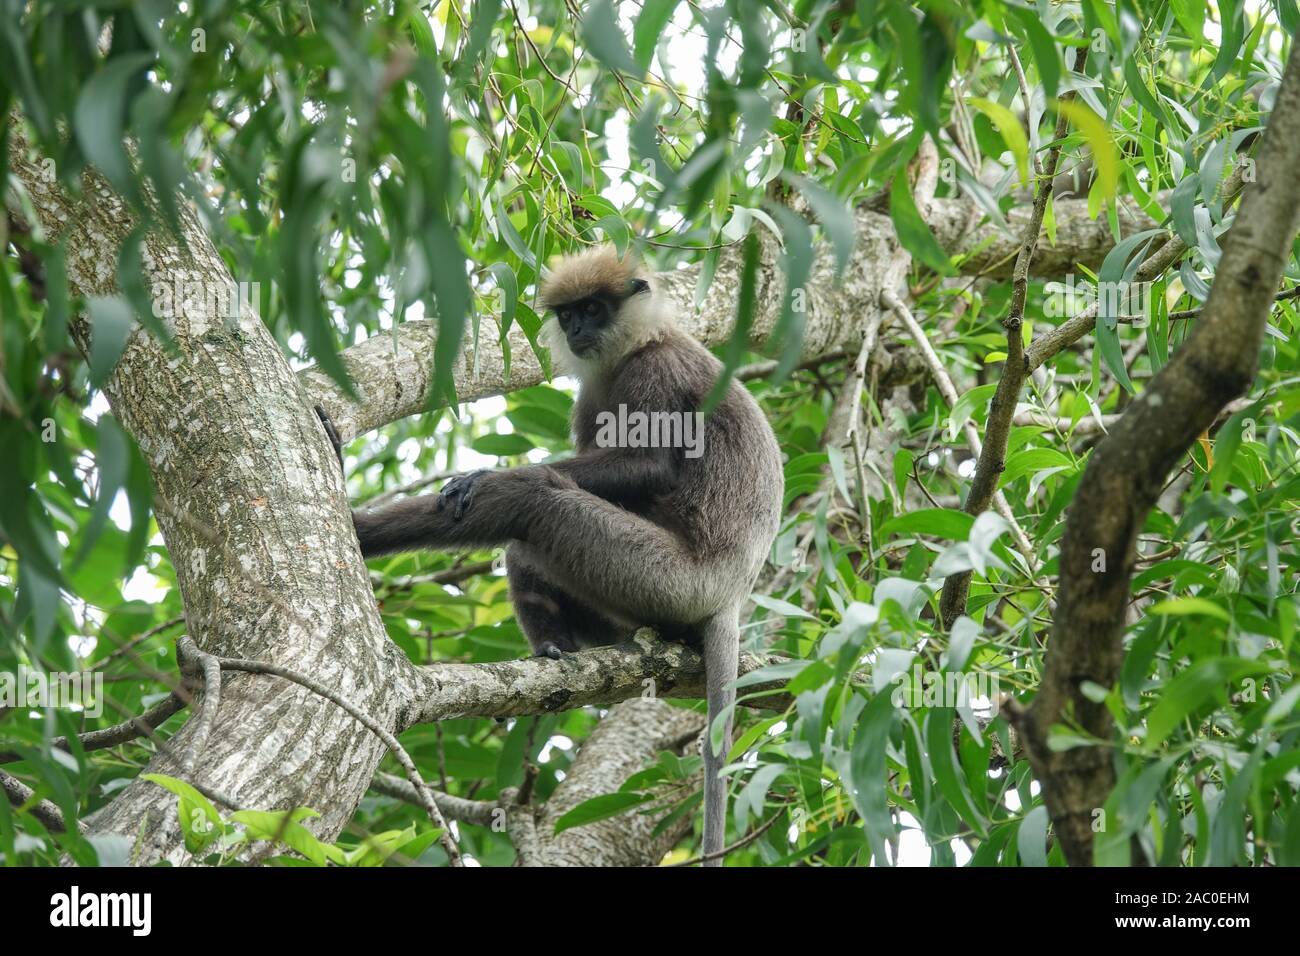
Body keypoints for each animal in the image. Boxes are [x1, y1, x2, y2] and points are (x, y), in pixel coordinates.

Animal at [345, 245, 784, 865]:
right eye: (569, 313)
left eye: (594, 308)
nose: (577, 329)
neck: (634, 347)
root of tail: (731, 596)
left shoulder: (657, 370)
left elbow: (649, 466)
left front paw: (478, 477)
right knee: (529, 549)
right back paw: (557, 648)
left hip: (668, 576)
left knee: (536, 500)